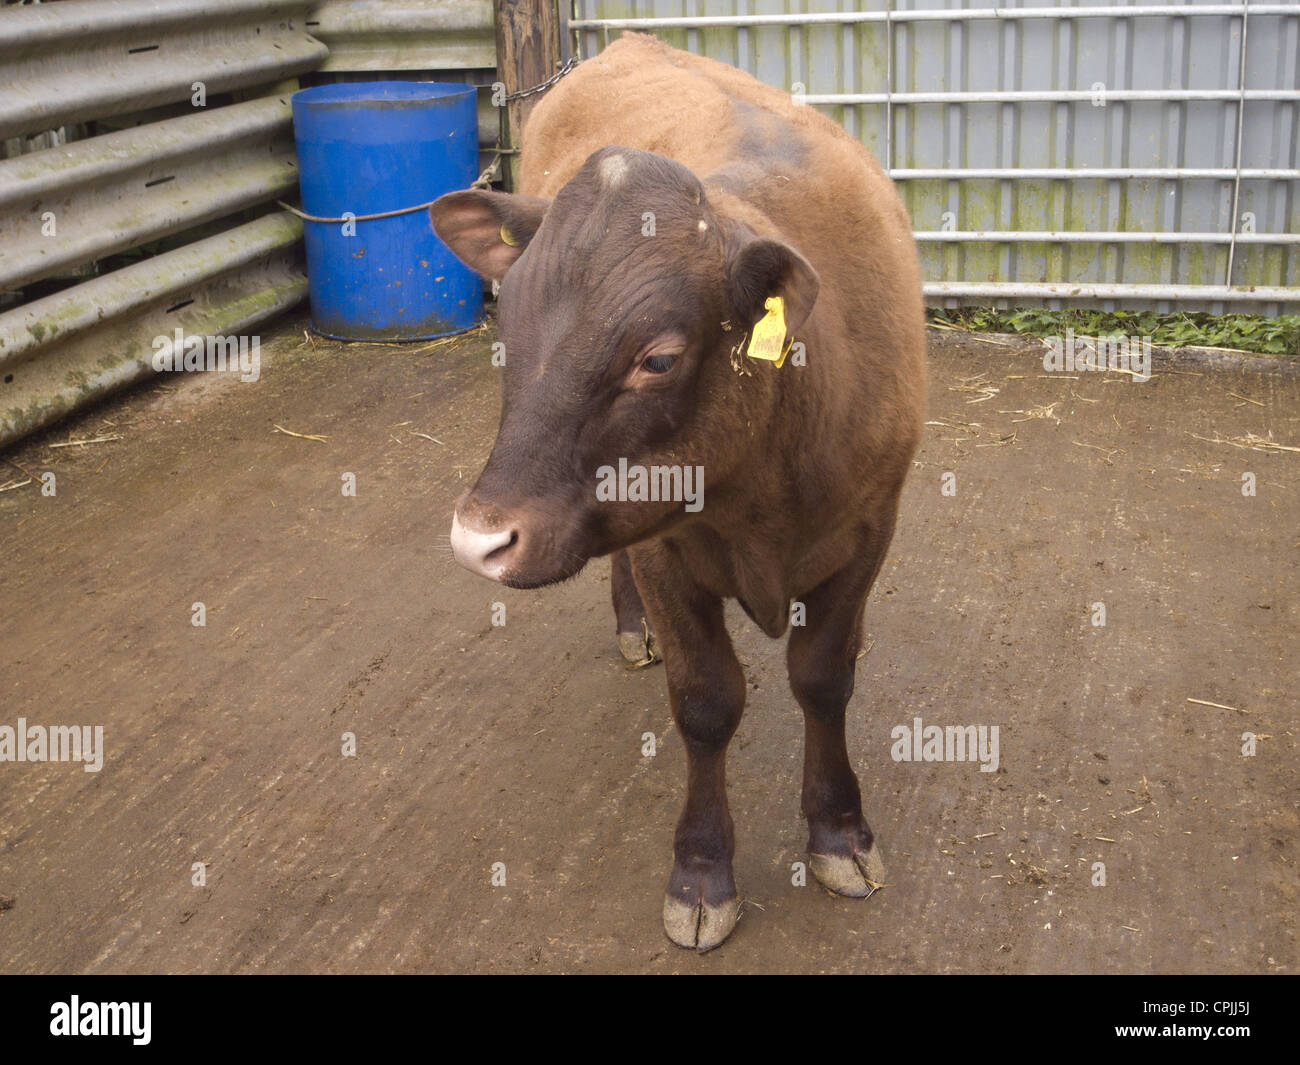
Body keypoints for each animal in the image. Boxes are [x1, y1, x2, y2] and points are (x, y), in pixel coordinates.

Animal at [430, 33, 927, 951]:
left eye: (657, 358)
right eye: (506, 323)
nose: (481, 537)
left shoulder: (870, 528)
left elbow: (824, 678)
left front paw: (839, 833)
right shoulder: (668, 549)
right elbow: (705, 703)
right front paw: (701, 873)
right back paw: (634, 630)